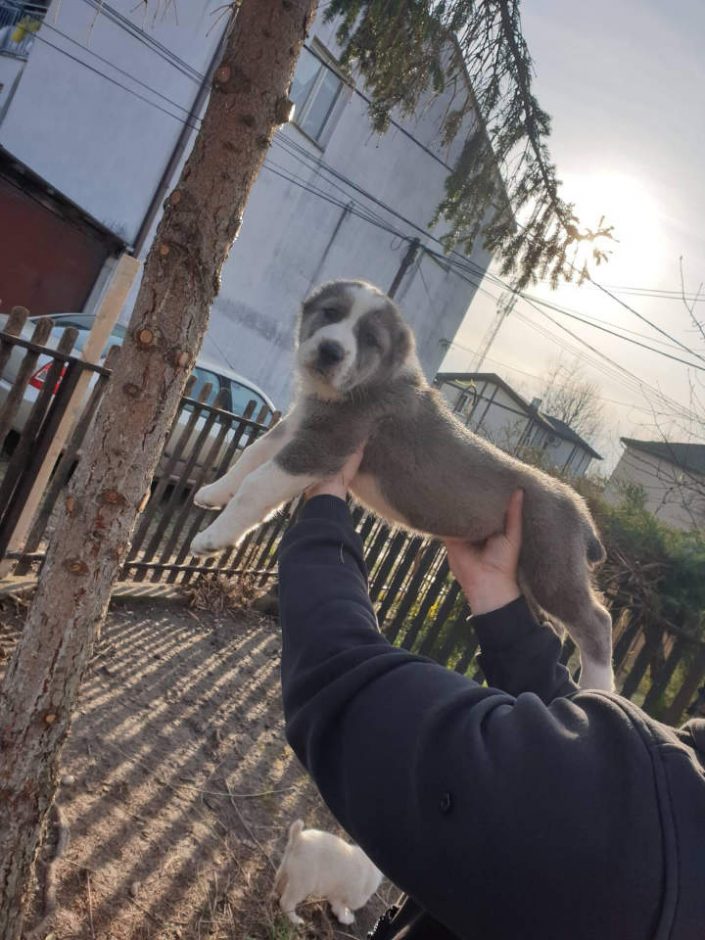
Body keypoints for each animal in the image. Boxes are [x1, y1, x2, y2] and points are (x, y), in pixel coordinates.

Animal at [191, 280, 612, 692]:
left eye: (370, 339)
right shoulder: (296, 428)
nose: (330, 351)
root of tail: (582, 512)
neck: (367, 383)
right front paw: (213, 493)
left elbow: (256, 485)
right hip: (527, 577)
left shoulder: (321, 448)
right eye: (330, 313)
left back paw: (597, 690)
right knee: (559, 628)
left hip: (550, 567)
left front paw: (212, 538)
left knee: (596, 621)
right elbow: (250, 454)